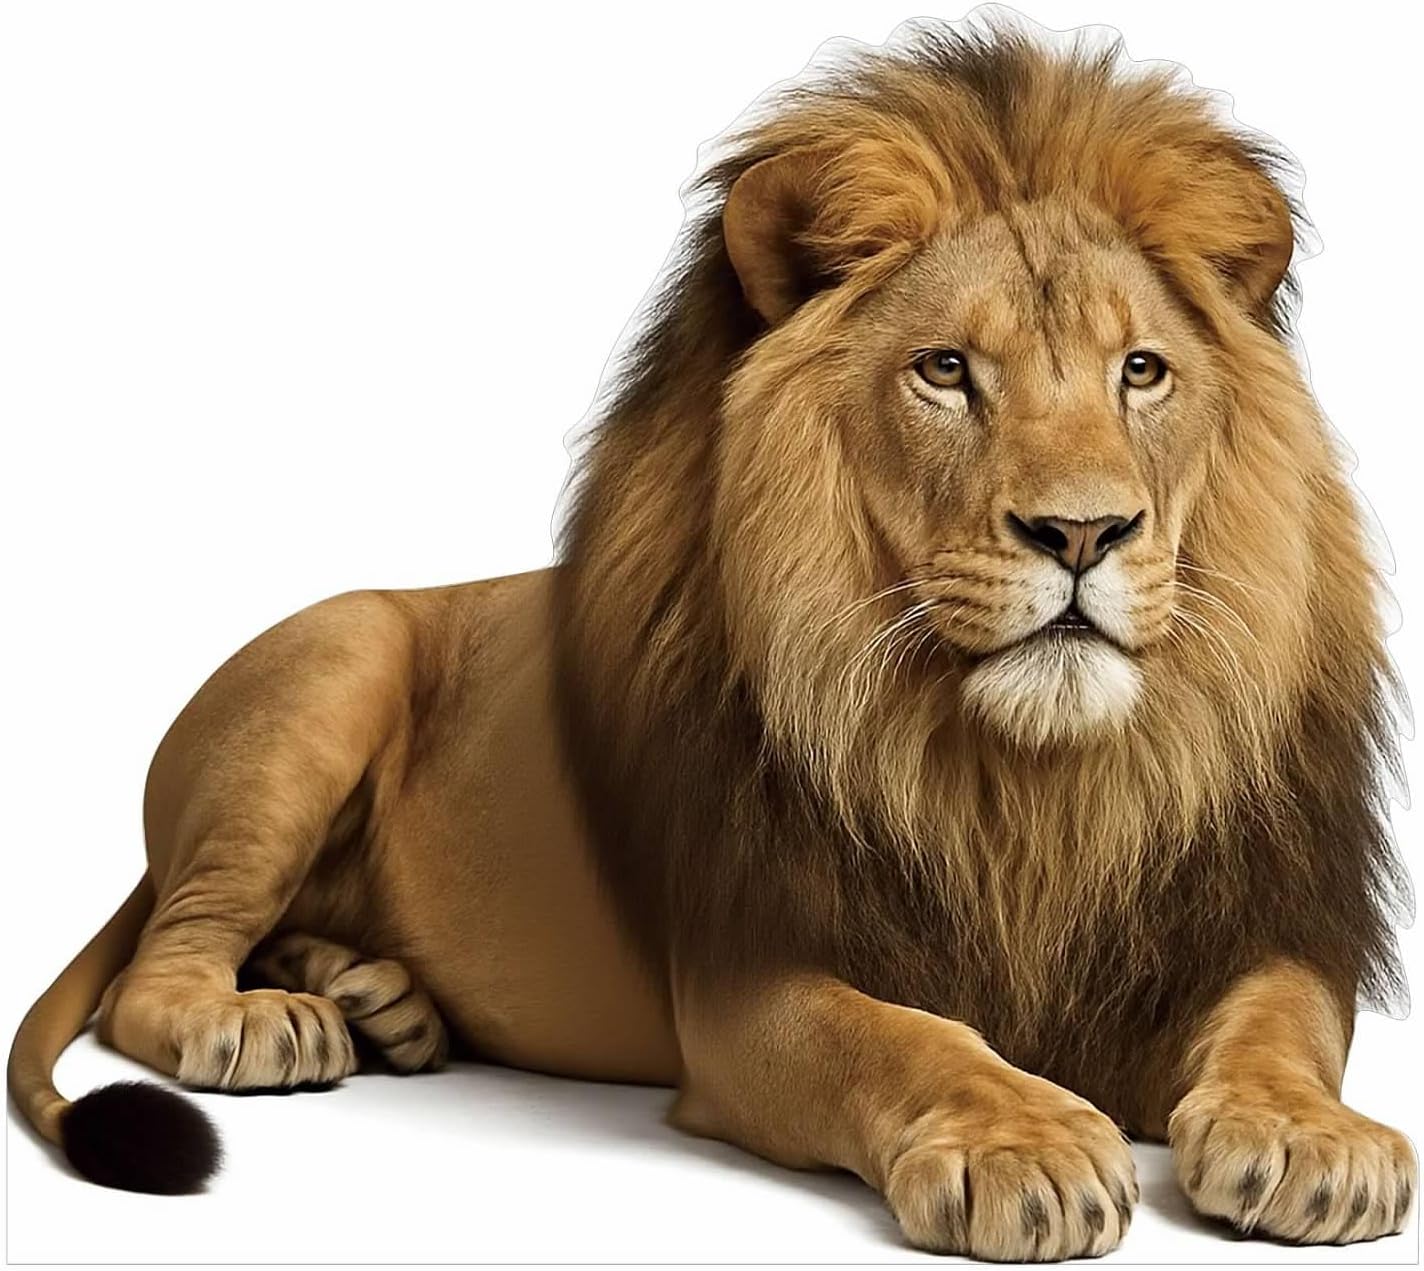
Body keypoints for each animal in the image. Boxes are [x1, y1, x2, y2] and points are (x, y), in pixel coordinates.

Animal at [8, 19, 1416, 1260]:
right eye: (945, 370)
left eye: (1140, 370)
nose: (1082, 531)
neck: (1026, 784)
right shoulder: (749, 977)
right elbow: (901, 1037)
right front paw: (1019, 1143)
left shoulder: (1236, 924)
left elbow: (1283, 1021)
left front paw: (1313, 1137)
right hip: (332, 660)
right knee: (161, 961)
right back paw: (268, 1020)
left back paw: (380, 1000)